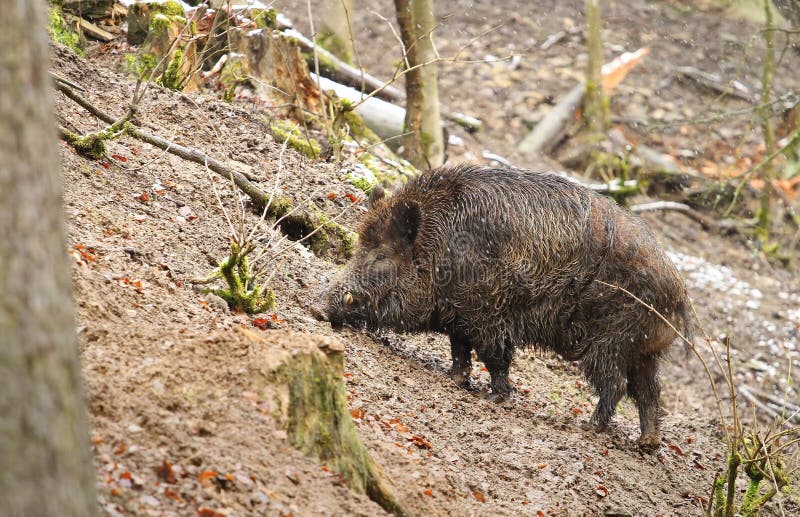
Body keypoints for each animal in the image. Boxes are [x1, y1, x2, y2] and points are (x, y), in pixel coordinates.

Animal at [327, 164, 691, 447]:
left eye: (381, 255)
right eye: (360, 244)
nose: (325, 303)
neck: (439, 244)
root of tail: (679, 291)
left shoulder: (487, 313)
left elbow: (494, 356)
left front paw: (494, 397)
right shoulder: (460, 315)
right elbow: (459, 349)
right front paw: (453, 379)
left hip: (612, 341)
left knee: (616, 384)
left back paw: (587, 426)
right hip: (643, 350)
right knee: (649, 392)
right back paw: (646, 443)